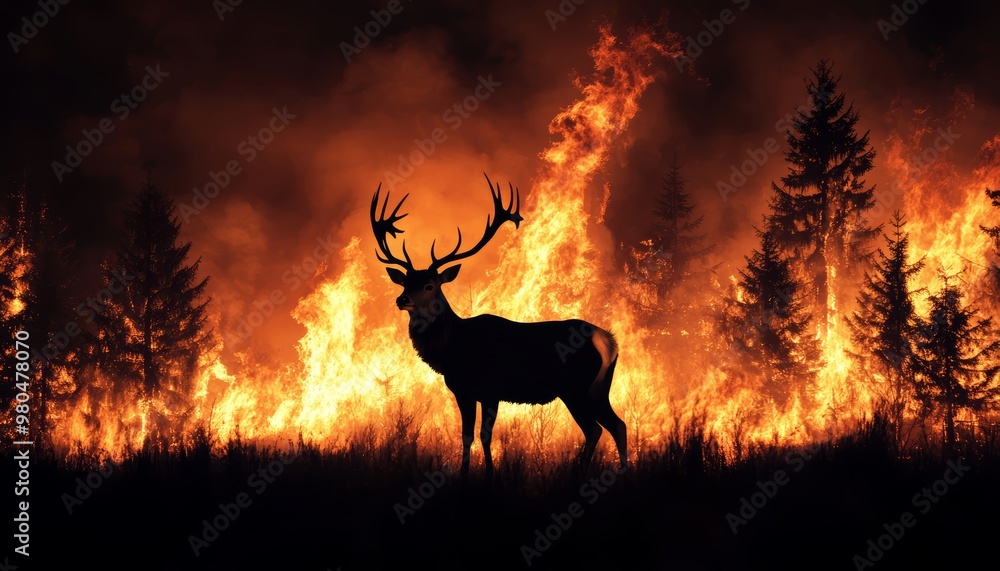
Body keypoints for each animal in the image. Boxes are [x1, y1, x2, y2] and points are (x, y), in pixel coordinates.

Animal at [370, 173, 628, 480]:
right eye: (406, 283)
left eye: (430, 285)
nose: (402, 299)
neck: (453, 348)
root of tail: (606, 340)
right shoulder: (468, 391)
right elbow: (469, 436)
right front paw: (472, 474)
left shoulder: (486, 389)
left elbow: (480, 435)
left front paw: (484, 476)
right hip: (599, 387)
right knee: (617, 425)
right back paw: (622, 473)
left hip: (575, 387)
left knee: (596, 429)